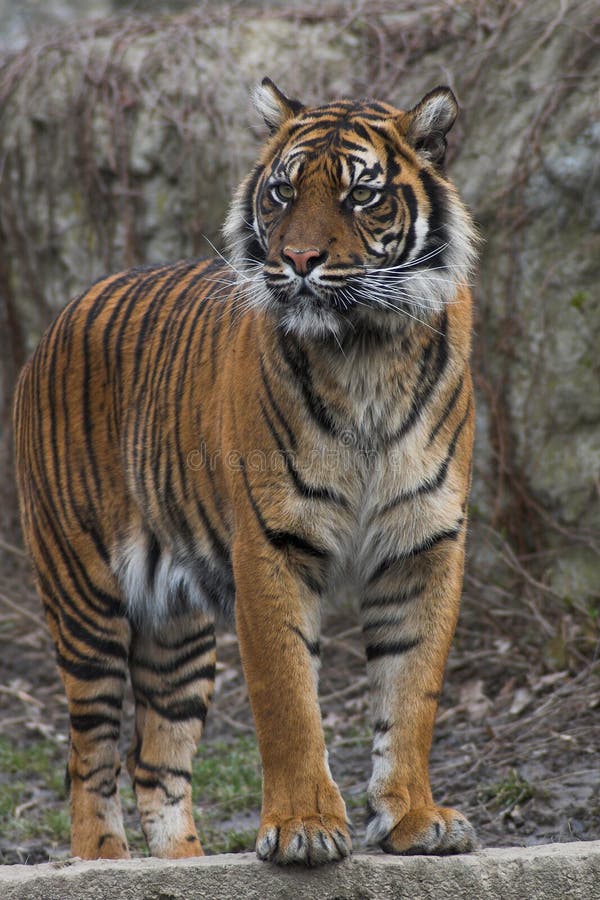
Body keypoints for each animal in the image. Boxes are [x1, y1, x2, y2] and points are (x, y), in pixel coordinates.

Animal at [13, 78, 479, 865]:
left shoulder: (423, 545)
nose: (299, 259)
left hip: (177, 630)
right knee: (90, 755)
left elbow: (411, 694)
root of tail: (56, 321)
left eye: (361, 195)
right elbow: (288, 699)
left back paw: (183, 864)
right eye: (283, 191)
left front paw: (415, 819)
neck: (366, 351)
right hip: (84, 596)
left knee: (155, 762)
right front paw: (303, 827)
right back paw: (103, 863)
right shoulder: (272, 545)